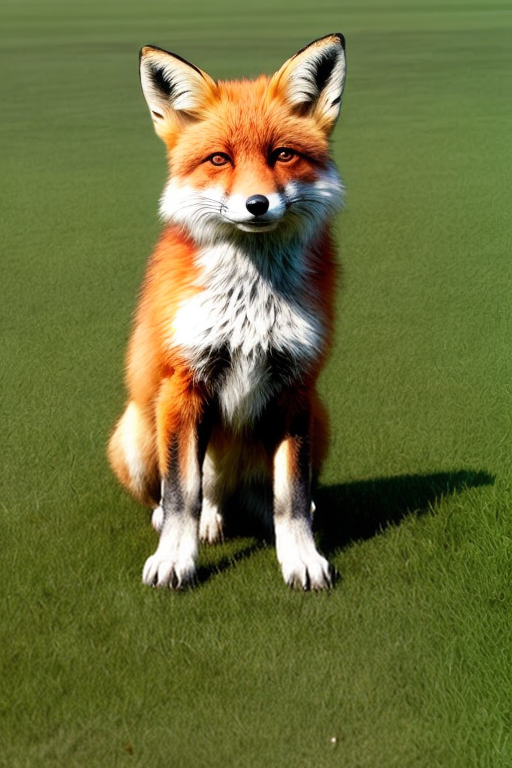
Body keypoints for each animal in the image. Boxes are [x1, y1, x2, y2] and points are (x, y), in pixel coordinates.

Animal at [108, 33, 347, 590]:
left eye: (283, 155)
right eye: (220, 159)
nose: (257, 204)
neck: (250, 305)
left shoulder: (295, 388)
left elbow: (291, 500)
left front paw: (301, 557)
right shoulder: (184, 385)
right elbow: (181, 496)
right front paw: (174, 559)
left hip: (320, 421)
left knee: (247, 495)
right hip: (137, 430)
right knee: (192, 493)